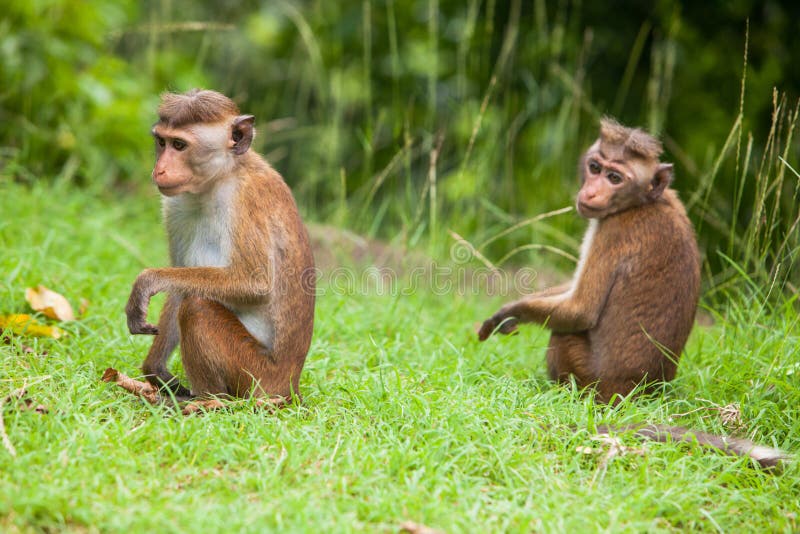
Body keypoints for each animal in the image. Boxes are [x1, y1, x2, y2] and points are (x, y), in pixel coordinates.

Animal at [125, 89, 315, 409]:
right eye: (162, 142)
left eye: (179, 145)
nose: (160, 169)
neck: (221, 177)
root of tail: (290, 385)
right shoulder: (174, 205)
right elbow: (179, 283)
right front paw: (155, 368)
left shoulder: (245, 200)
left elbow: (256, 282)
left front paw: (147, 280)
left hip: (257, 375)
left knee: (198, 306)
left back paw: (208, 401)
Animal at [477, 117, 789, 469]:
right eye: (595, 167)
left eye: (615, 178)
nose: (591, 191)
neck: (645, 201)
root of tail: (639, 395)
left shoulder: (613, 230)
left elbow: (581, 309)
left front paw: (511, 311)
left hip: (593, 381)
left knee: (563, 334)